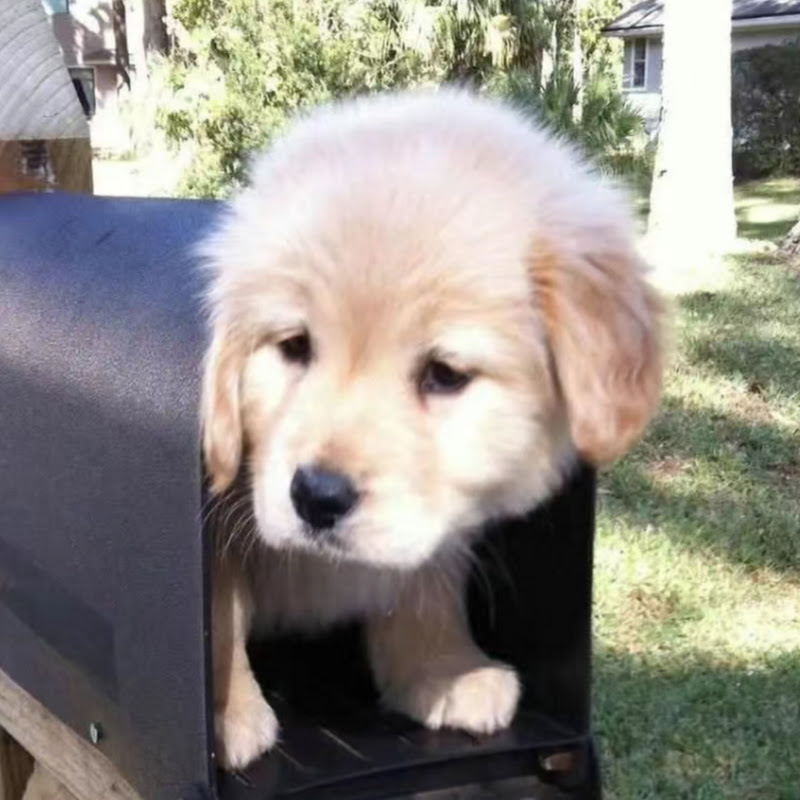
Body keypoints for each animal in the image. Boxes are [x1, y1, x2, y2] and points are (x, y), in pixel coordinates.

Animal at [199, 89, 663, 770]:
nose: (317, 496)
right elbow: (220, 610)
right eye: (294, 346)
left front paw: (444, 670)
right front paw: (226, 711)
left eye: (444, 374)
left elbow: (426, 581)